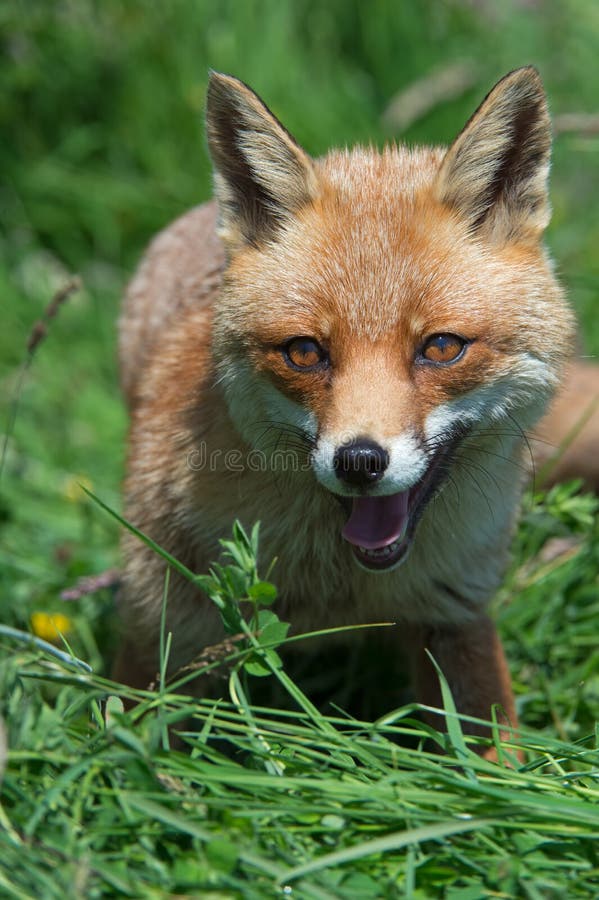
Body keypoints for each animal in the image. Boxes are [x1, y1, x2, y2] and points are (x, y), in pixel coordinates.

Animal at [115, 67, 599, 754]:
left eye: (441, 347)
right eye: (304, 352)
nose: (360, 461)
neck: (339, 595)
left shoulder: (457, 613)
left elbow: (493, 760)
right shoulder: (160, 630)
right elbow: (134, 747)